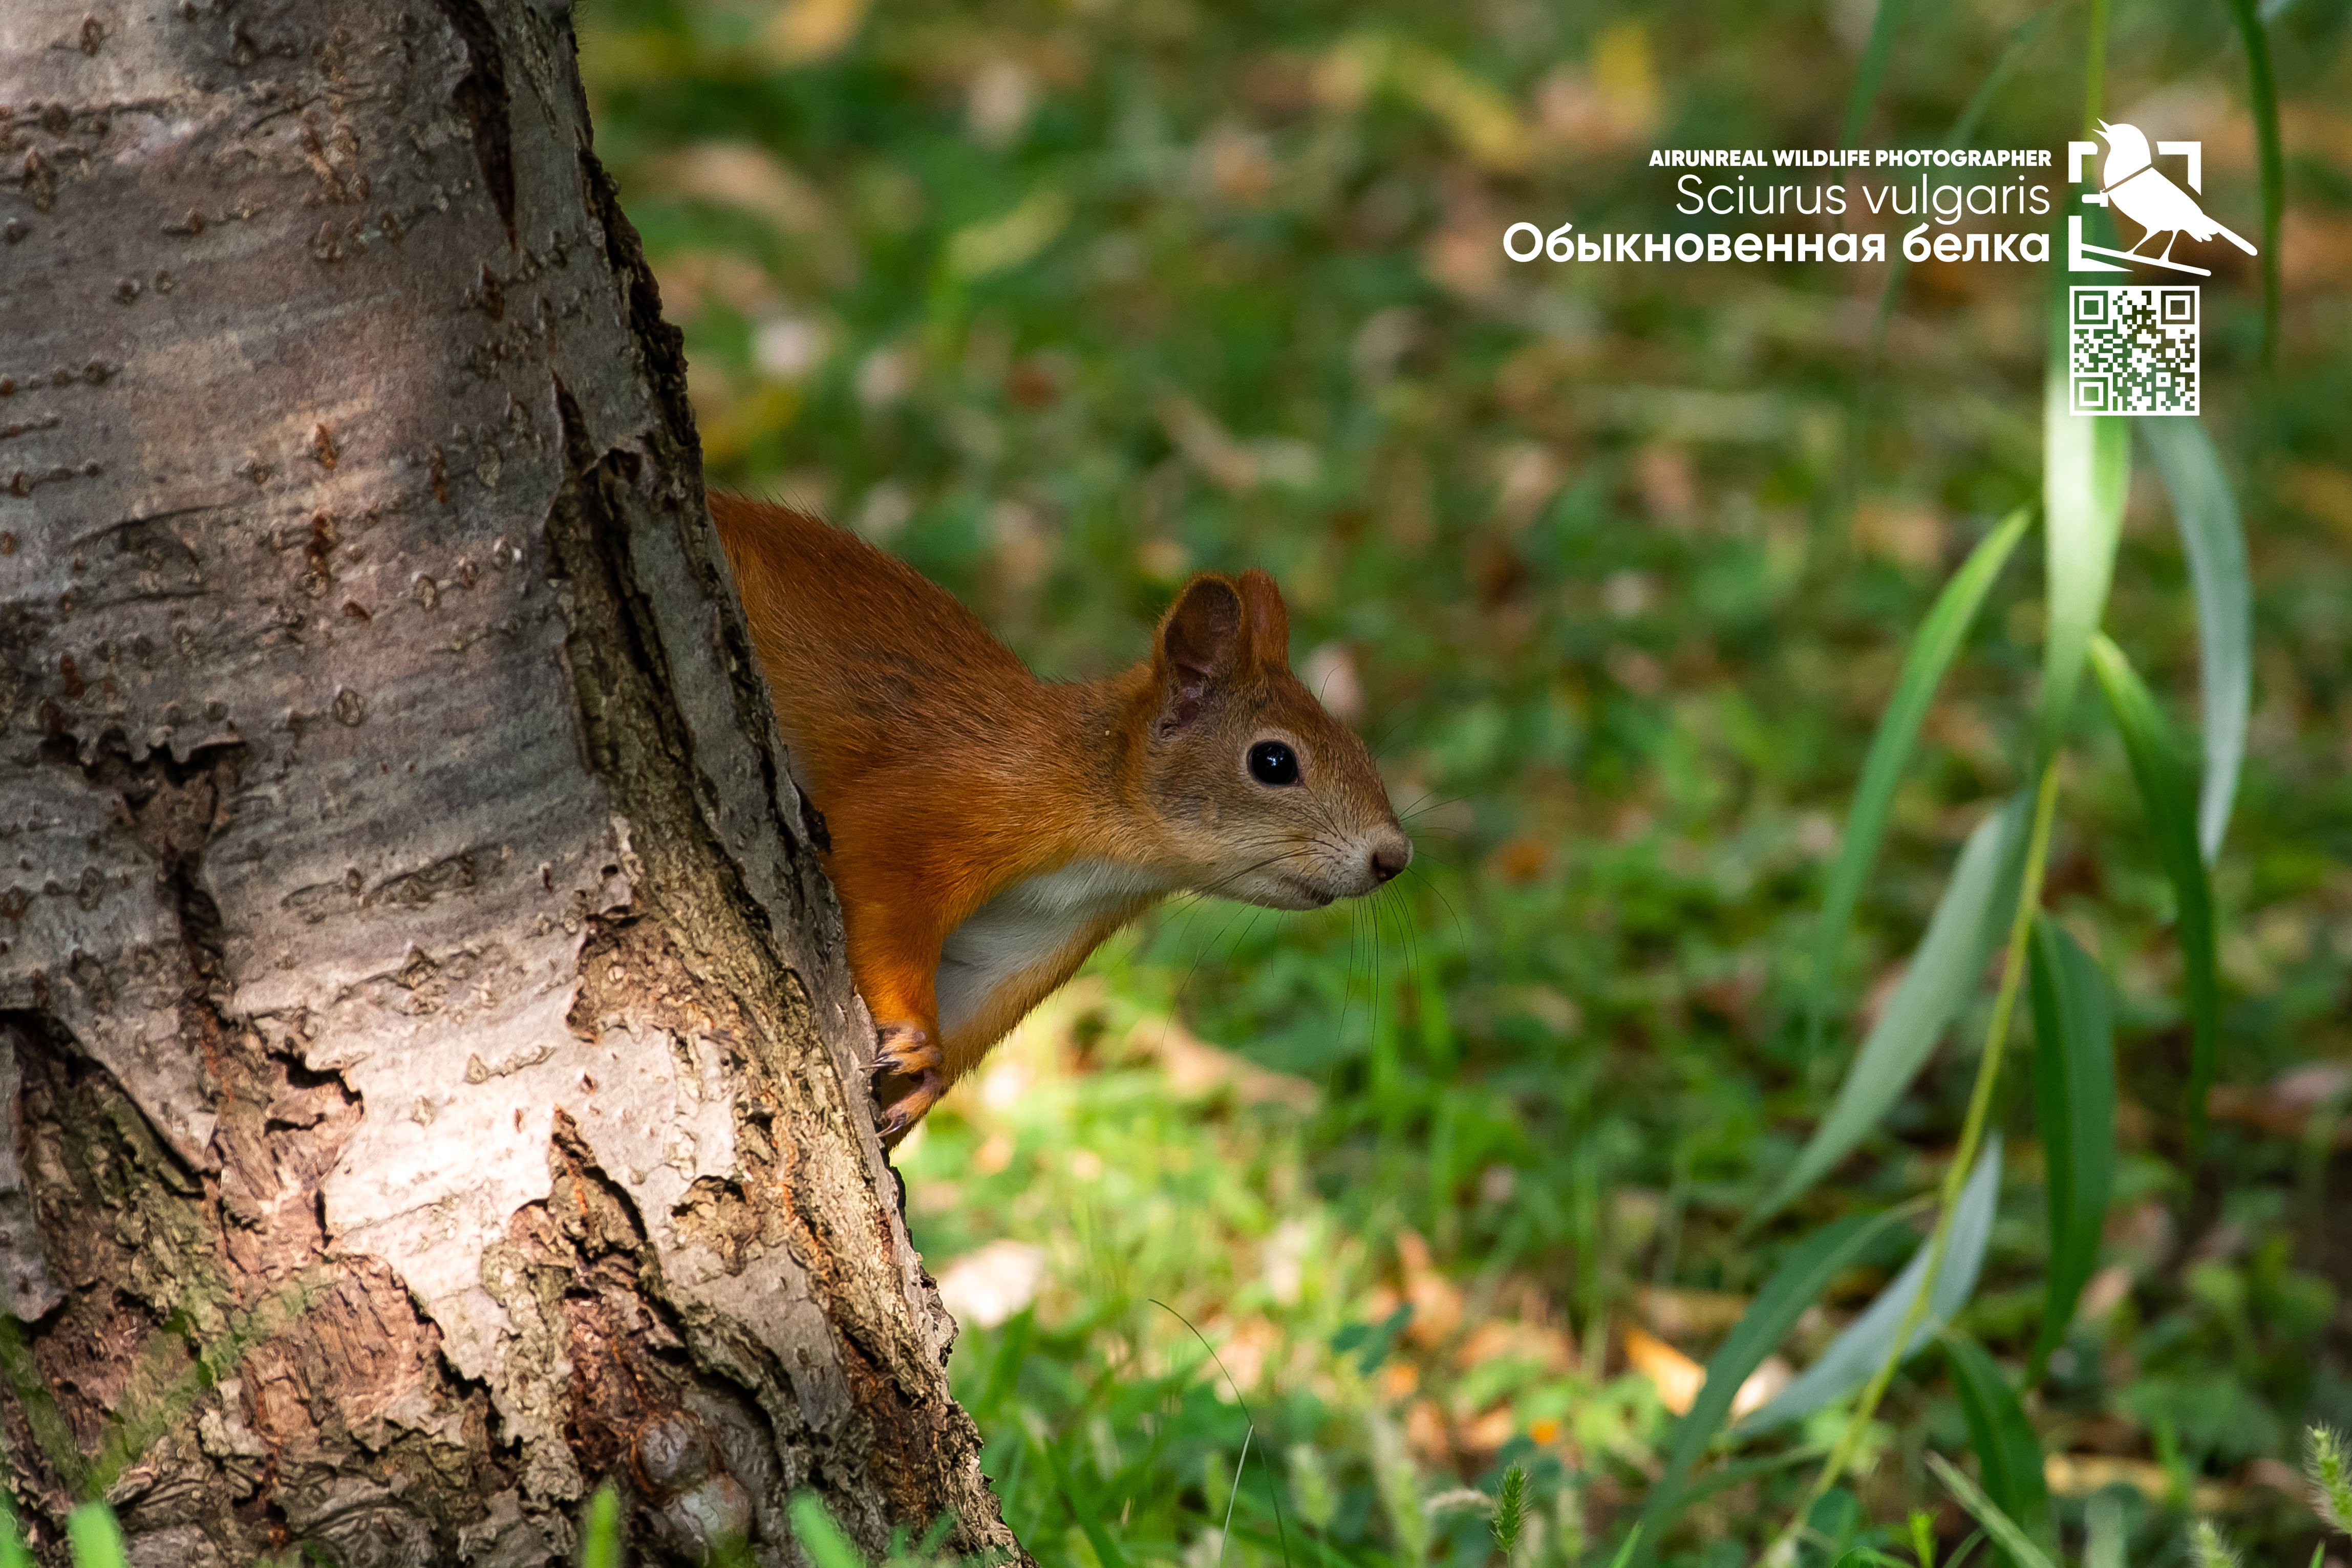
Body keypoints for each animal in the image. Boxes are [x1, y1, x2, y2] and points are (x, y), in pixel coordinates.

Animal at [710, 491, 1411, 1142]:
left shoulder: (1031, 940)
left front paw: (925, 1081)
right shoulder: (934, 806)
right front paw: (914, 1034)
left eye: (1357, 743)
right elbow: (877, 881)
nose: (1394, 858)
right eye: (1272, 761)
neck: (1104, 852)